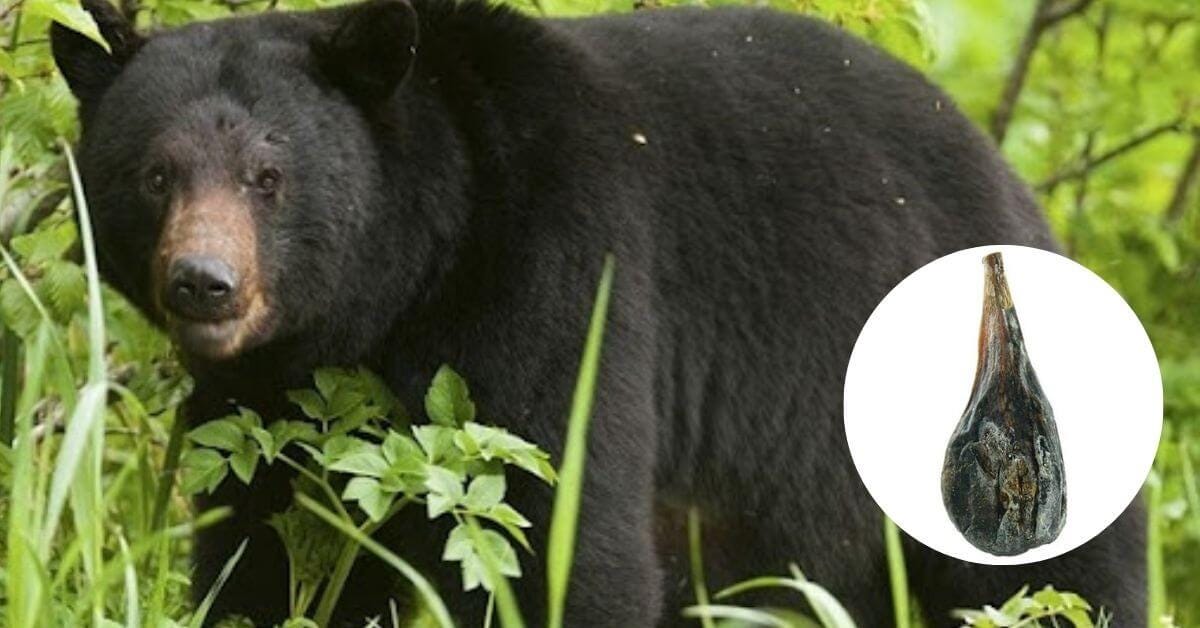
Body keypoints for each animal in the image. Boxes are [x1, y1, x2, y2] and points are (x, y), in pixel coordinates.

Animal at [50, 0, 1147, 625]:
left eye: (267, 176)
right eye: (155, 172)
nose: (204, 282)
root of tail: (1012, 179)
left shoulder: (563, 270)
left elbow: (562, 524)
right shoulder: (262, 393)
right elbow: (257, 536)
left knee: (1059, 580)